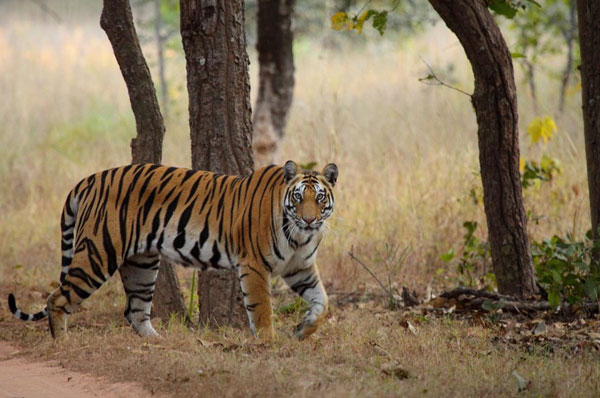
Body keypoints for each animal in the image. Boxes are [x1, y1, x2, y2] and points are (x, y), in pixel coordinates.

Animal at [8, 160, 338, 340]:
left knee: (135, 310)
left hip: (141, 263)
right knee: (57, 298)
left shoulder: (300, 267)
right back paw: (62, 344)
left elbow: (322, 301)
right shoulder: (254, 265)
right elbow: (262, 309)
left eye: (320, 198)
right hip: (97, 253)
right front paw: (269, 343)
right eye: (298, 198)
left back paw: (158, 341)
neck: (300, 236)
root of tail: (89, 179)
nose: (310, 219)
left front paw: (303, 330)